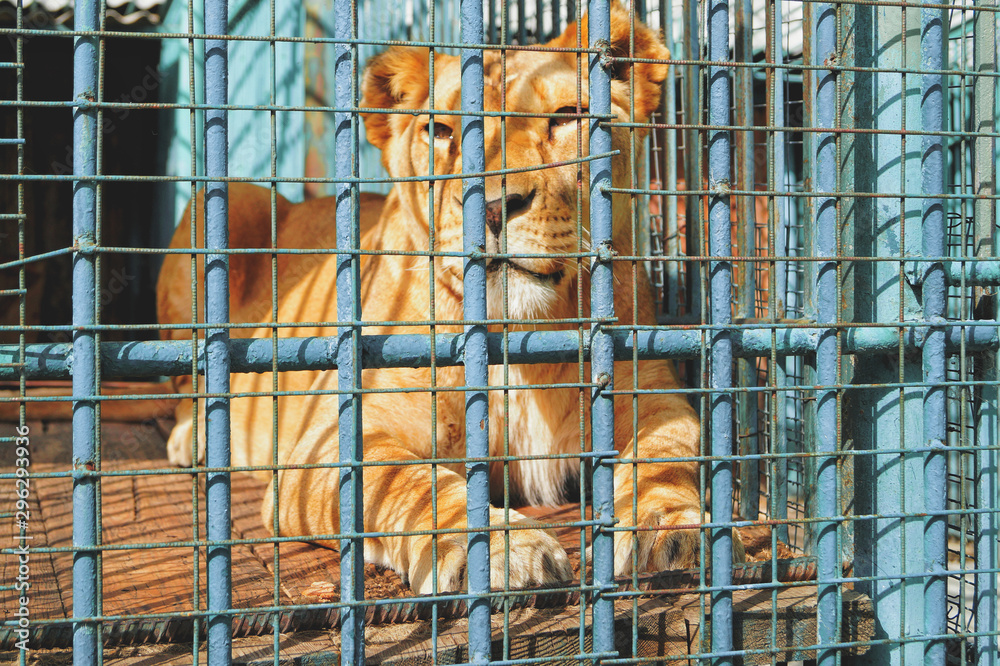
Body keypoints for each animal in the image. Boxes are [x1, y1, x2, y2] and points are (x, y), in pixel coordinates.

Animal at [157, 5, 744, 595]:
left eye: (567, 117)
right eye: (439, 130)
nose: (491, 206)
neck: (516, 337)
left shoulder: (653, 393)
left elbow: (665, 454)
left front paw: (669, 525)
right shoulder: (328, 440)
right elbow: (413, 484)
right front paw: (503, 548)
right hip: (222, 204)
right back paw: (199, 440)